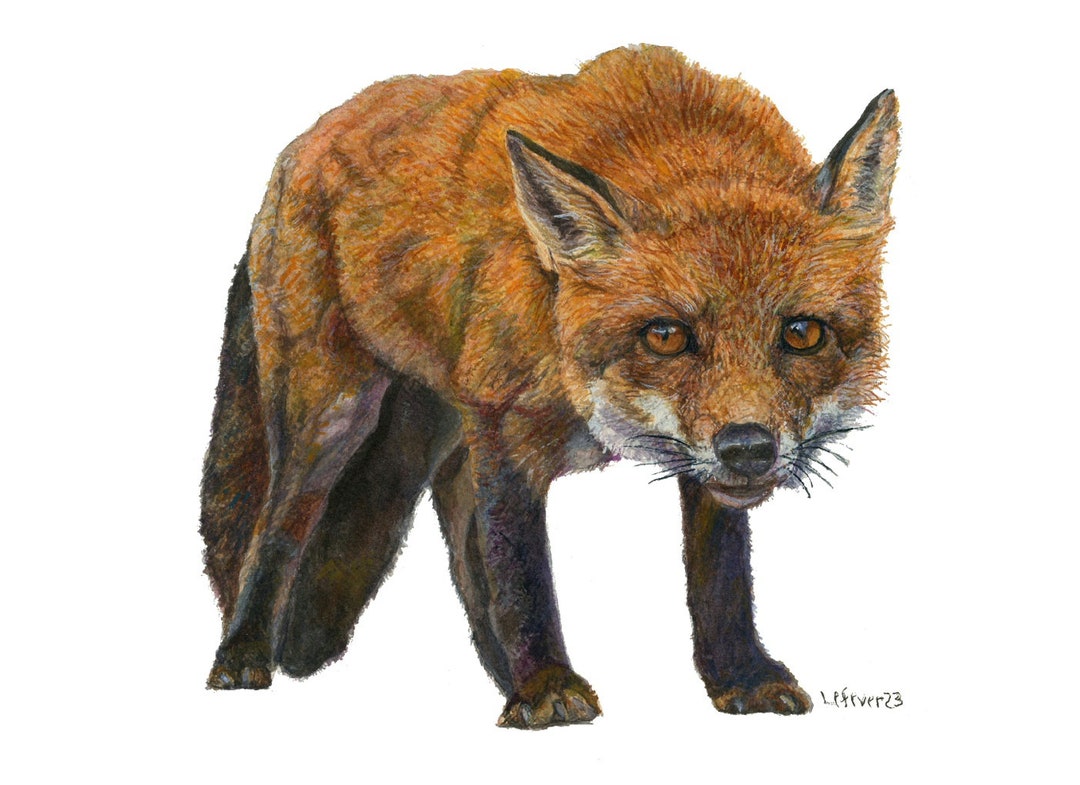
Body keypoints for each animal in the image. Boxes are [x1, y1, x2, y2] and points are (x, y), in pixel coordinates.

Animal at [201, 44, 898, 728]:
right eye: (665, 336)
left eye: (802, 333)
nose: (748, 448)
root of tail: (302, 143)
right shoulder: (505, 432)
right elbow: (522, 574)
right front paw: (545, 688)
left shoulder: (688, 463)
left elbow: (721, 577)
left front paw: (741, 677)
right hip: (332, 418)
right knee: (277, 528)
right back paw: (242, 655)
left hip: (448, 426)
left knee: (458, 529)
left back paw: (497, 670)